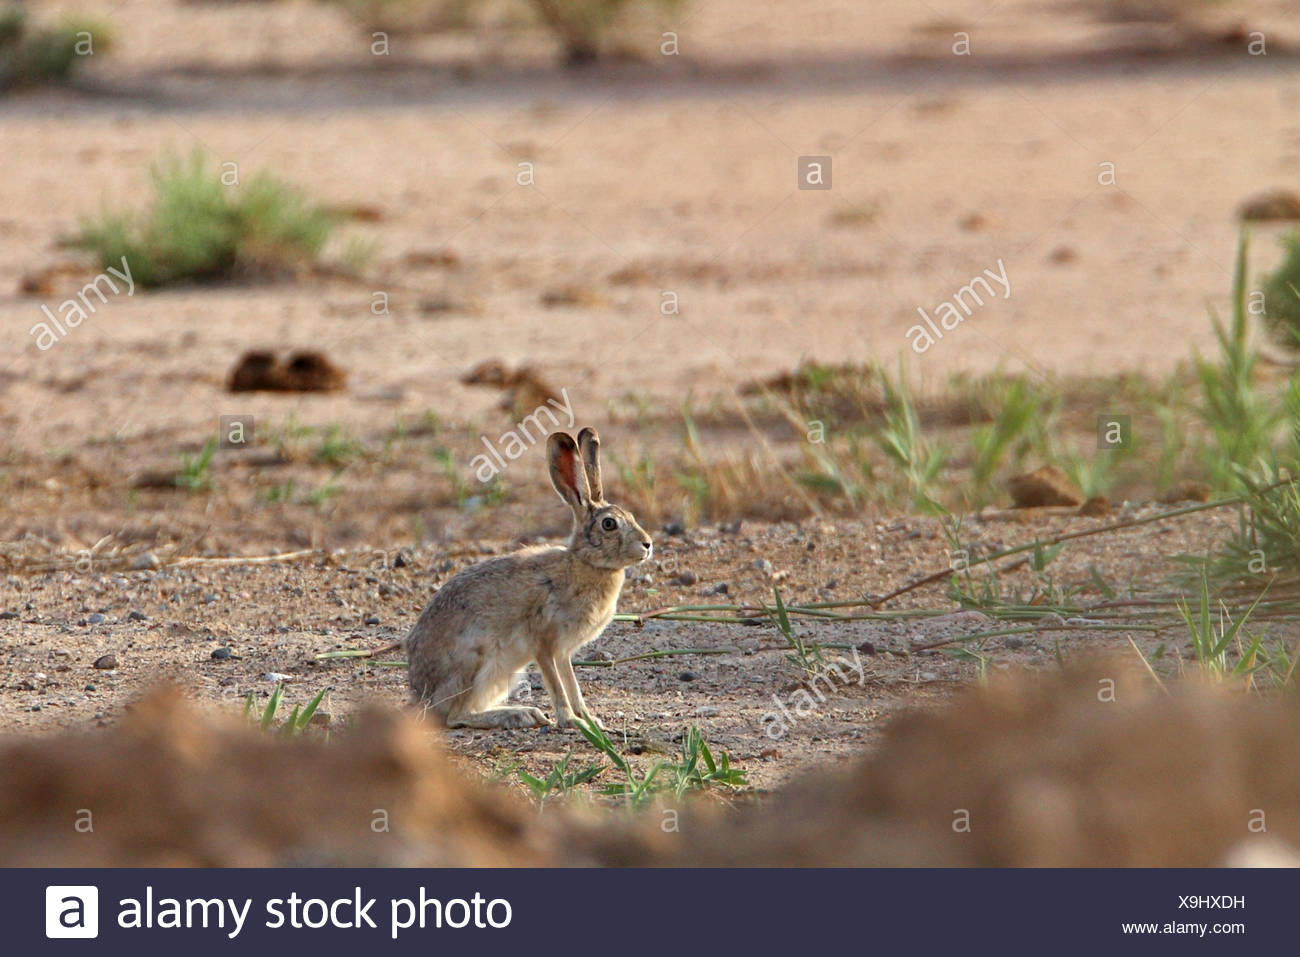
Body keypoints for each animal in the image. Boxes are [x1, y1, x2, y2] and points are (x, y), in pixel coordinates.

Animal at [405, 427, 652, 730]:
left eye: (630, 515)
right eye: (609, 524)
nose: (648, 544)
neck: (585, 564)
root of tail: (421, 693)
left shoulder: (563, 653)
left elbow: (571, 683)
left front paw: (589, 718)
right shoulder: (544, 642)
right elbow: (557, 685)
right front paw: (571, 720)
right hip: (476, 664)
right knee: (455, 717)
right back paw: (519, 714)